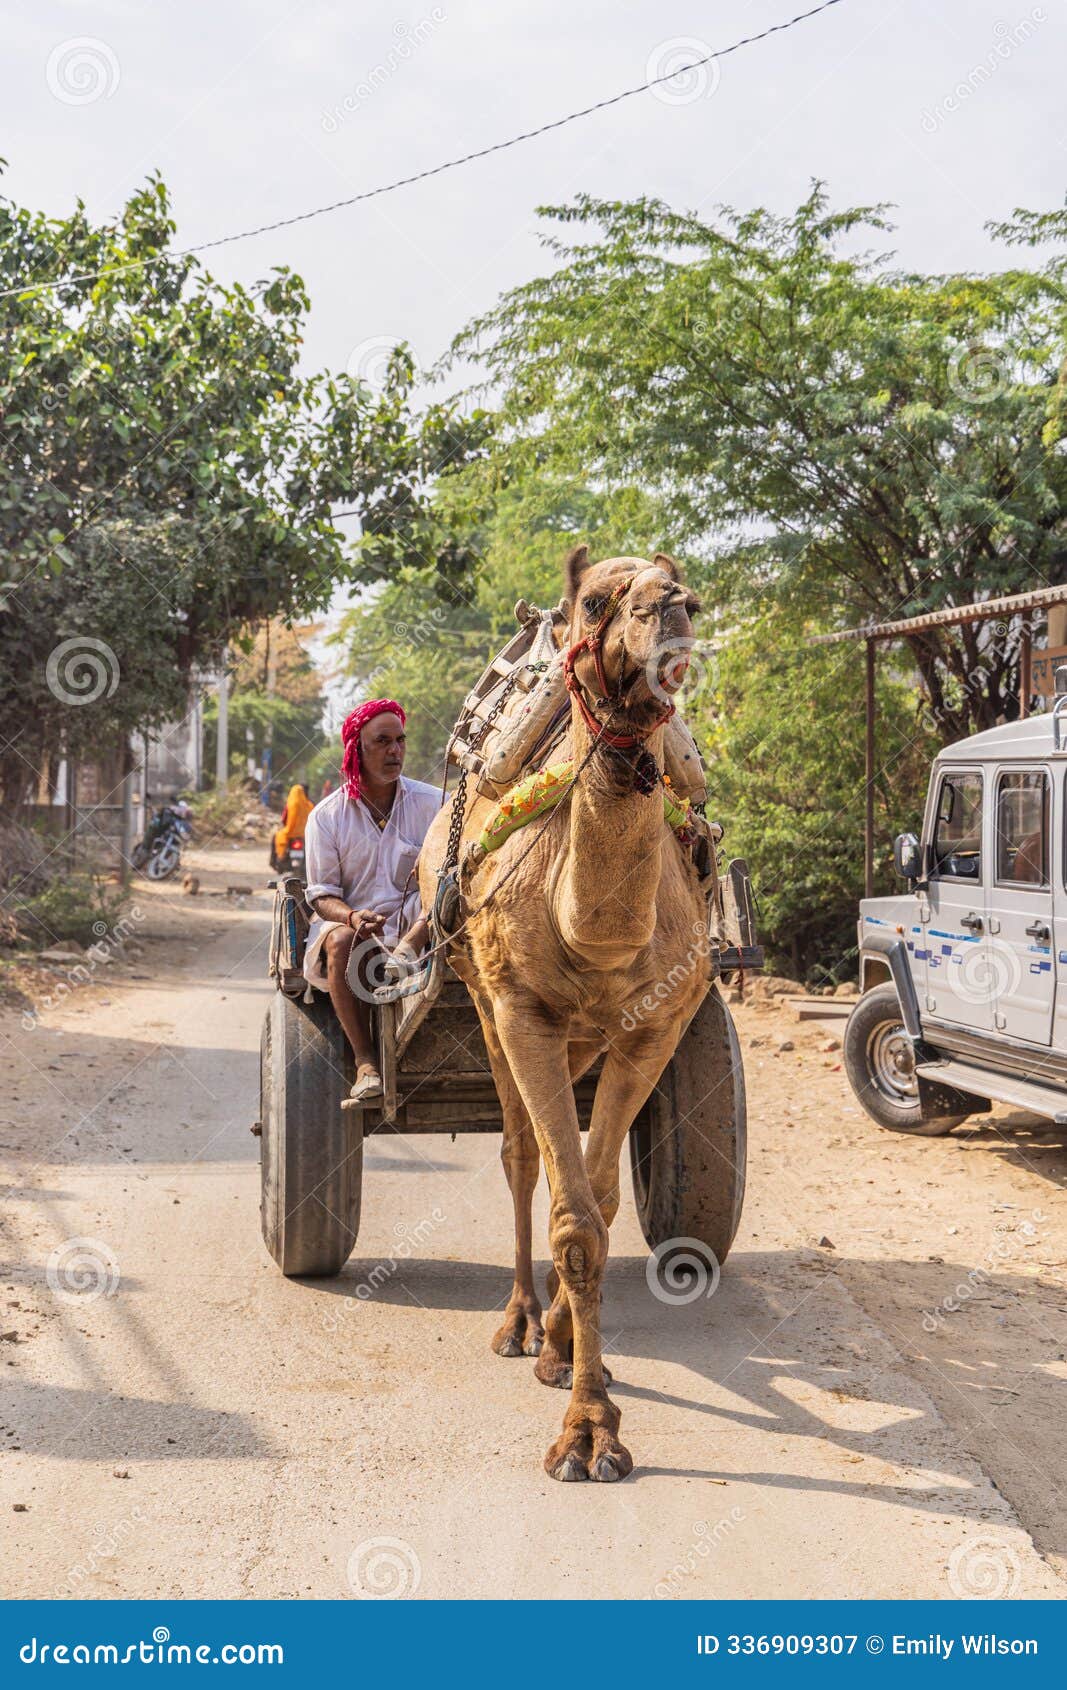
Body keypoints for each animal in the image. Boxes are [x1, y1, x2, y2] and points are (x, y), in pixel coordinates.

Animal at [419, 547, 712, 1481]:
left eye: (688, 593)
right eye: (594, 601)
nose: (672, 607)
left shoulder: (657, 1023)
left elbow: (601, 1201)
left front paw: (577, 1367)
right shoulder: (521, 1012)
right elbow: (573, 1216)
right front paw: (586, 1431)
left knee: (563, 1166)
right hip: (482, 1004)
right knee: (519, 1155)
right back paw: (516, 1321)